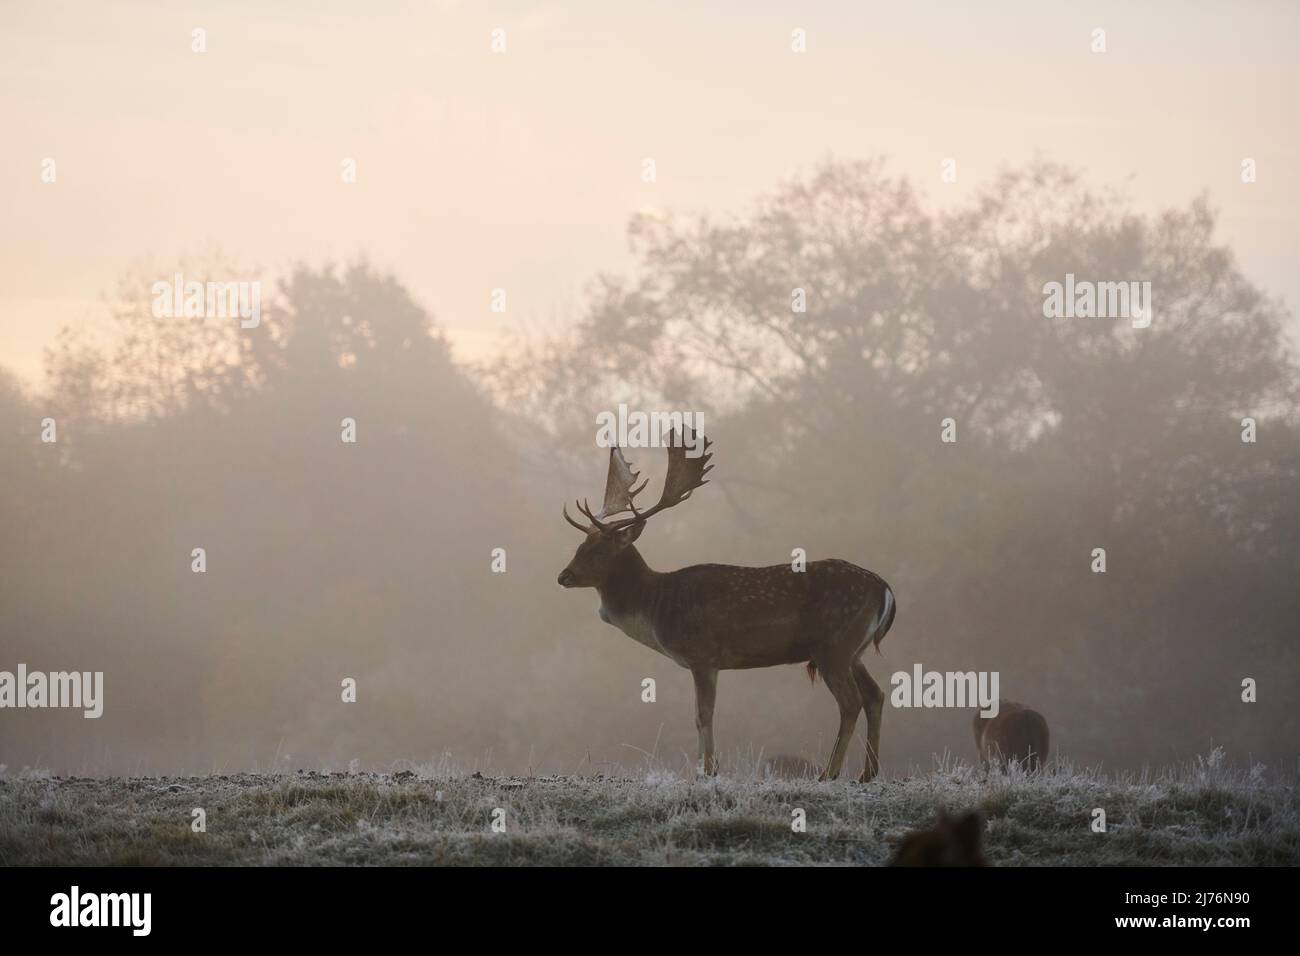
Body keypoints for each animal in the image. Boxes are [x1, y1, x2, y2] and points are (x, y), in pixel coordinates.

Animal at [557, 427, 897, 781]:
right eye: (580, 545)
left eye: (598, 550)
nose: (563, 576)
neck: (657, 606)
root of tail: (884, 588)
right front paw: (709, 767)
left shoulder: (702, 654)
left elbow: (702, 714)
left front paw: (707, 770)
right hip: (853, 650)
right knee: (875, 694)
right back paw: (868, 772)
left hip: (835, 644)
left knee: (851, 701)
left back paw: (829, 773)